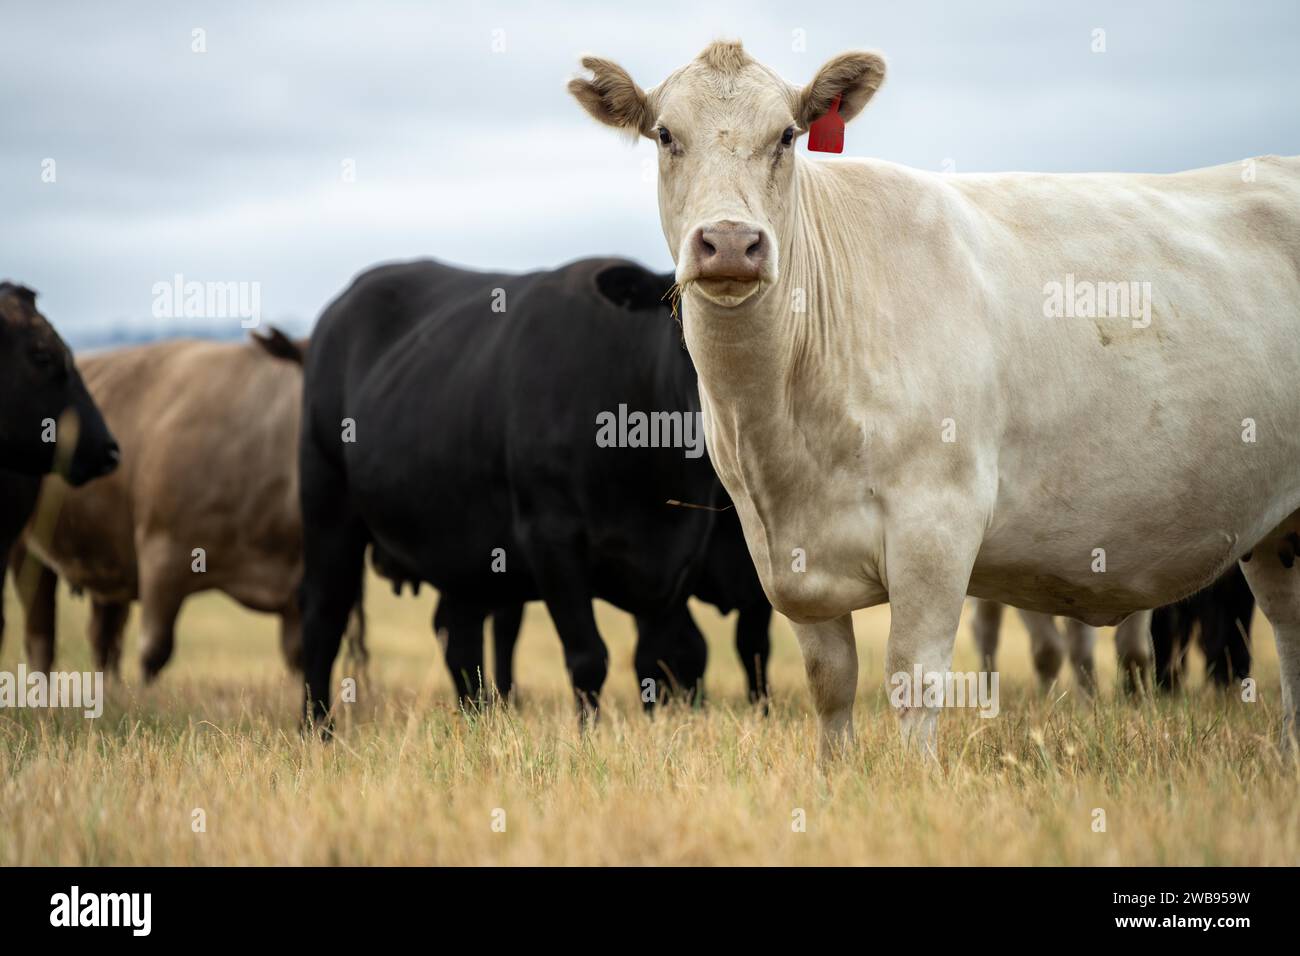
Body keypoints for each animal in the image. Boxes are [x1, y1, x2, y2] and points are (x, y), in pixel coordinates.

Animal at [12, 329, 363, 678]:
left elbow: (301, 655)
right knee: (41, 638)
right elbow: (153, 652)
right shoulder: (162, 554)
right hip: (27, 552)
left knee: (104, 639)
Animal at [299, 257, 741, 729]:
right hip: (328, 509)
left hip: (462, 549)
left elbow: (665, 656)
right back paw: (317, 730)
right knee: (322, 620)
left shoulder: (679, 557)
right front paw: (588, 736)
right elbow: (589, 657)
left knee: (459, 635)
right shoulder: (550, 537)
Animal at [570, 41, 1300, 760]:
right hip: (1276, 539)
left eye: (786, 136)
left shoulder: (938, 520)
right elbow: (830, 684)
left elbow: (912, 678)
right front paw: (835, 776)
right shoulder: (786, 556)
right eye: (666, 135)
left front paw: (916, 776)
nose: (729, 242)